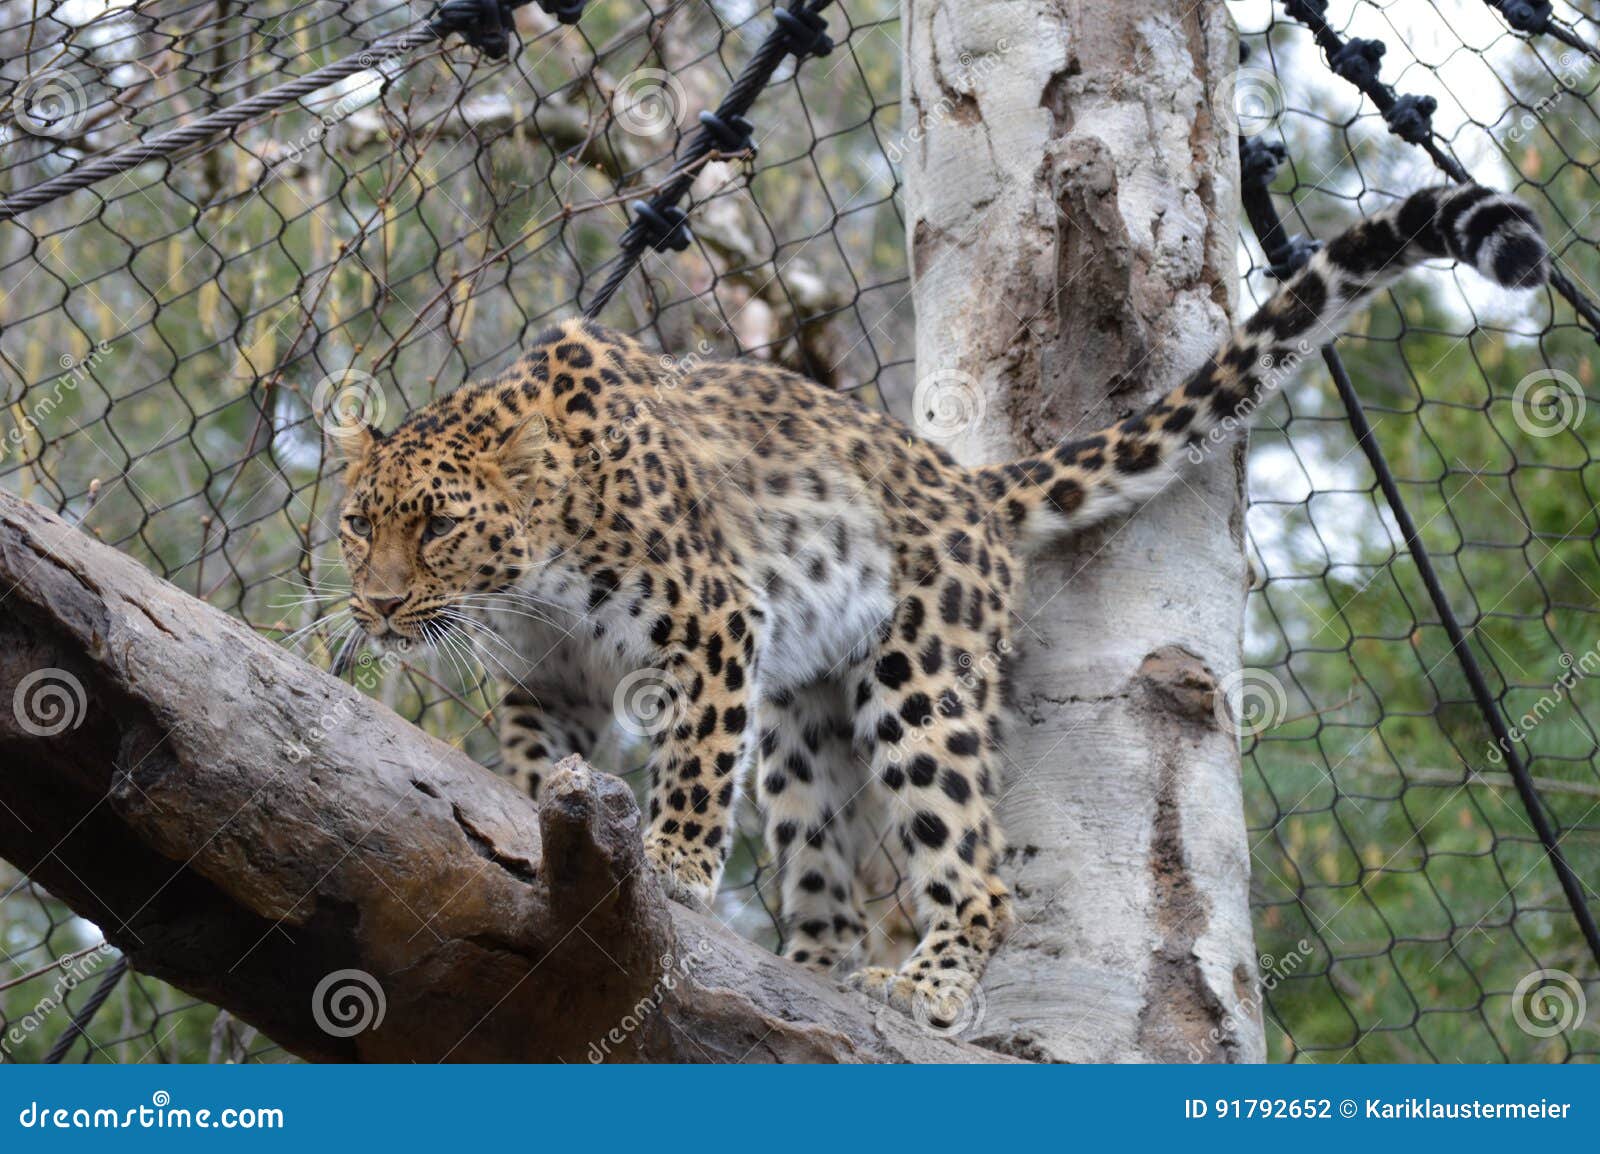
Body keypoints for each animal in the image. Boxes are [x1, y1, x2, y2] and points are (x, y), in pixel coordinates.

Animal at [329, 183, 1548, 1026]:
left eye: (436, 525)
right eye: (356, 524)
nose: (377, 608)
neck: (530, 574)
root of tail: (964, 484)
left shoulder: (714, 620)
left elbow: (693, 764)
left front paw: (670, 864)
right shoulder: (549, 676)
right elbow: (543, 760)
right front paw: (540, 816)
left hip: (916, 677)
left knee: (975, 872)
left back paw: (926, 985)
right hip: (800, 714)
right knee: (822, 867)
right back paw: (811, 970)